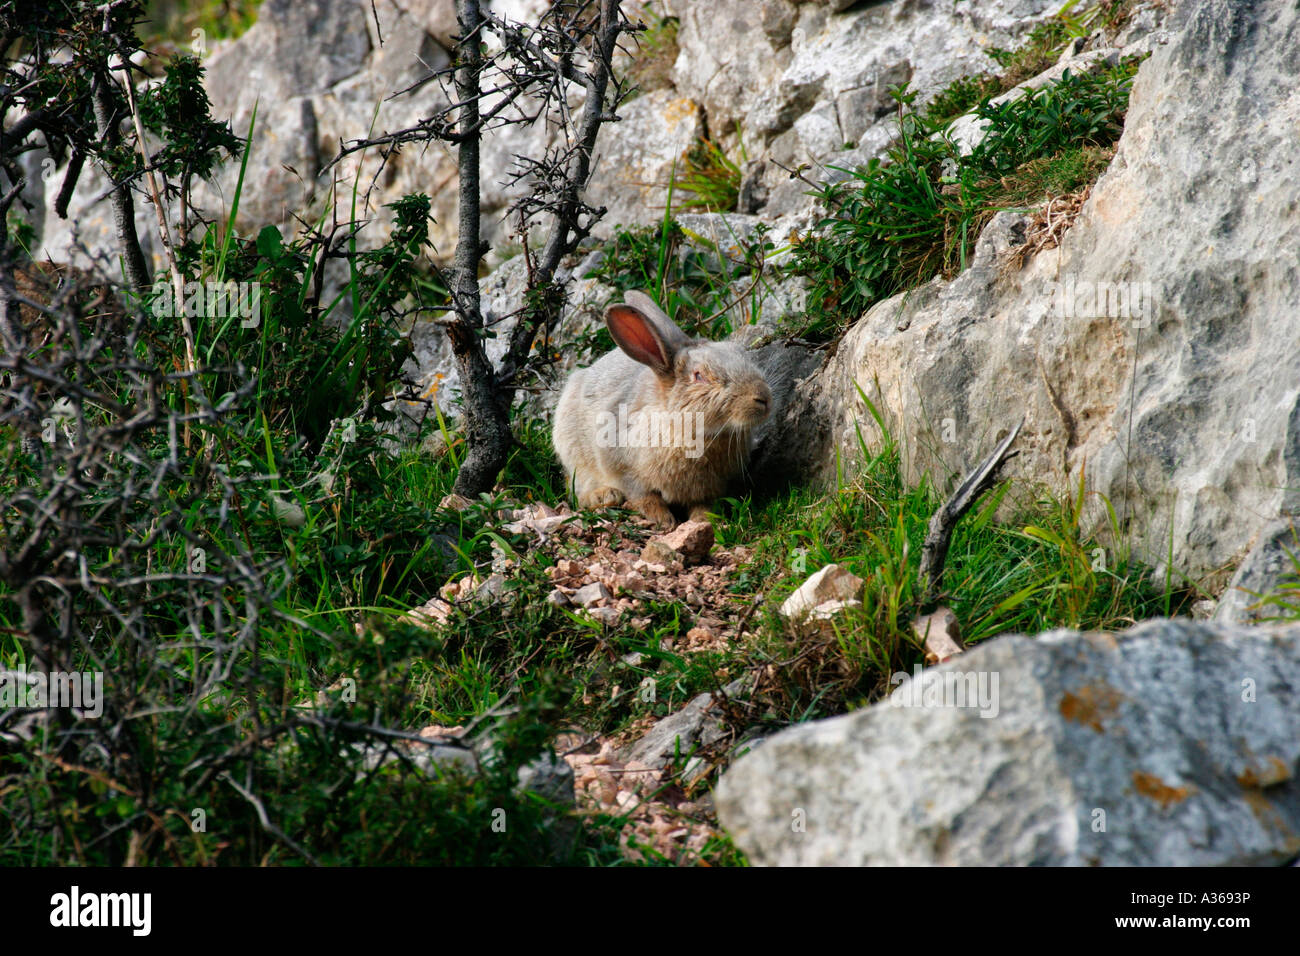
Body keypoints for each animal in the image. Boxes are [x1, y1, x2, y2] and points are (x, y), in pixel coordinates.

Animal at [553, 290, 773, 528]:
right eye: (699, 376)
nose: (763, 398)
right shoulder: (621, 464)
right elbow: (645, 496)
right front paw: (663, 520)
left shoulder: (711, 487)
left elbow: (703, 504)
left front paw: (702, 520)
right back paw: (603, 496)